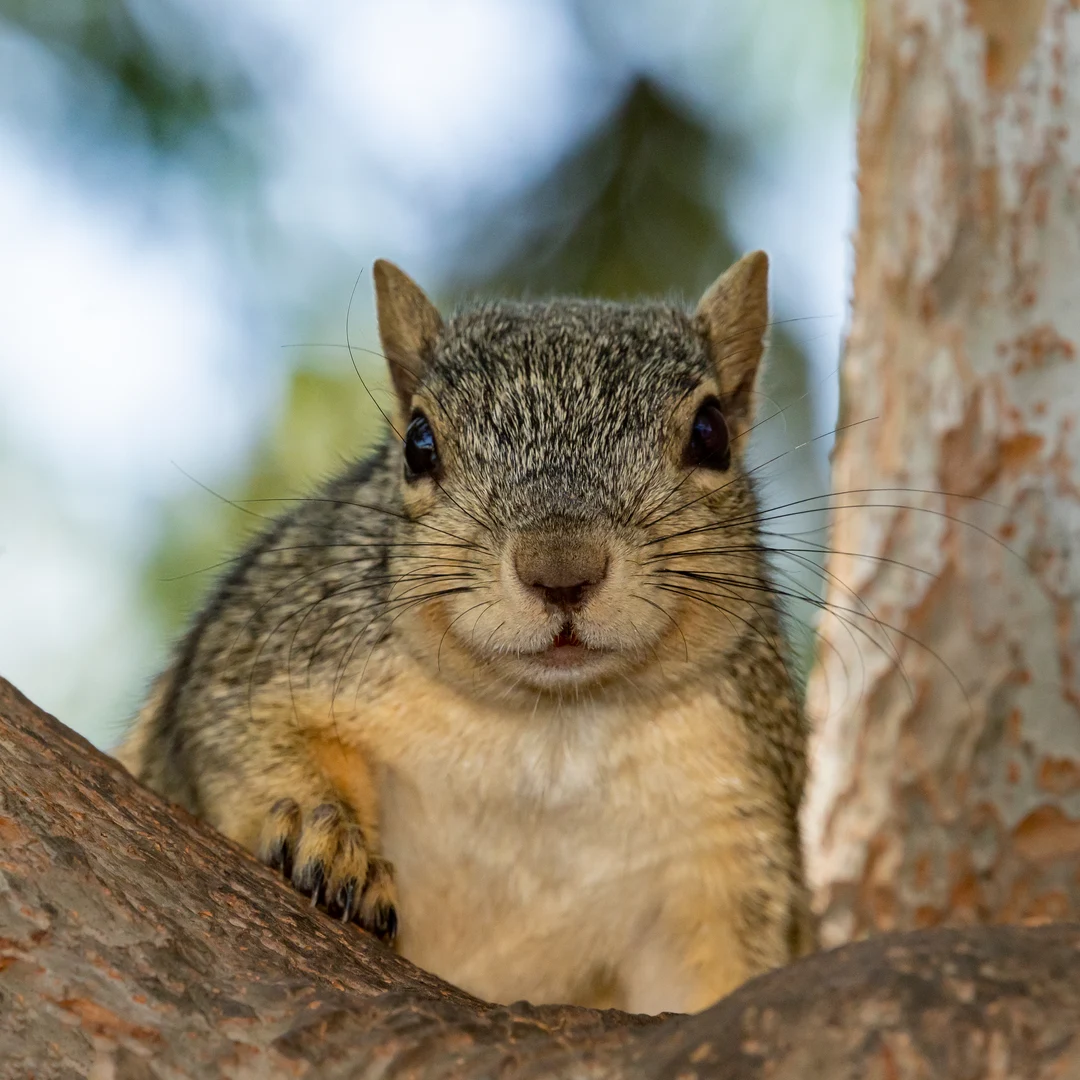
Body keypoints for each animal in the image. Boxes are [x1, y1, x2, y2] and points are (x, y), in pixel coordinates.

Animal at [117, 251, 814, 1014]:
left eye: (710, 433)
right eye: (418, 444)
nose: (560, 570)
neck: (550, 727)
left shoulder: (728, 830)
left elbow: (714, 967)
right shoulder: (264, 647)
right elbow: (242, 737)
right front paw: (320, 833)